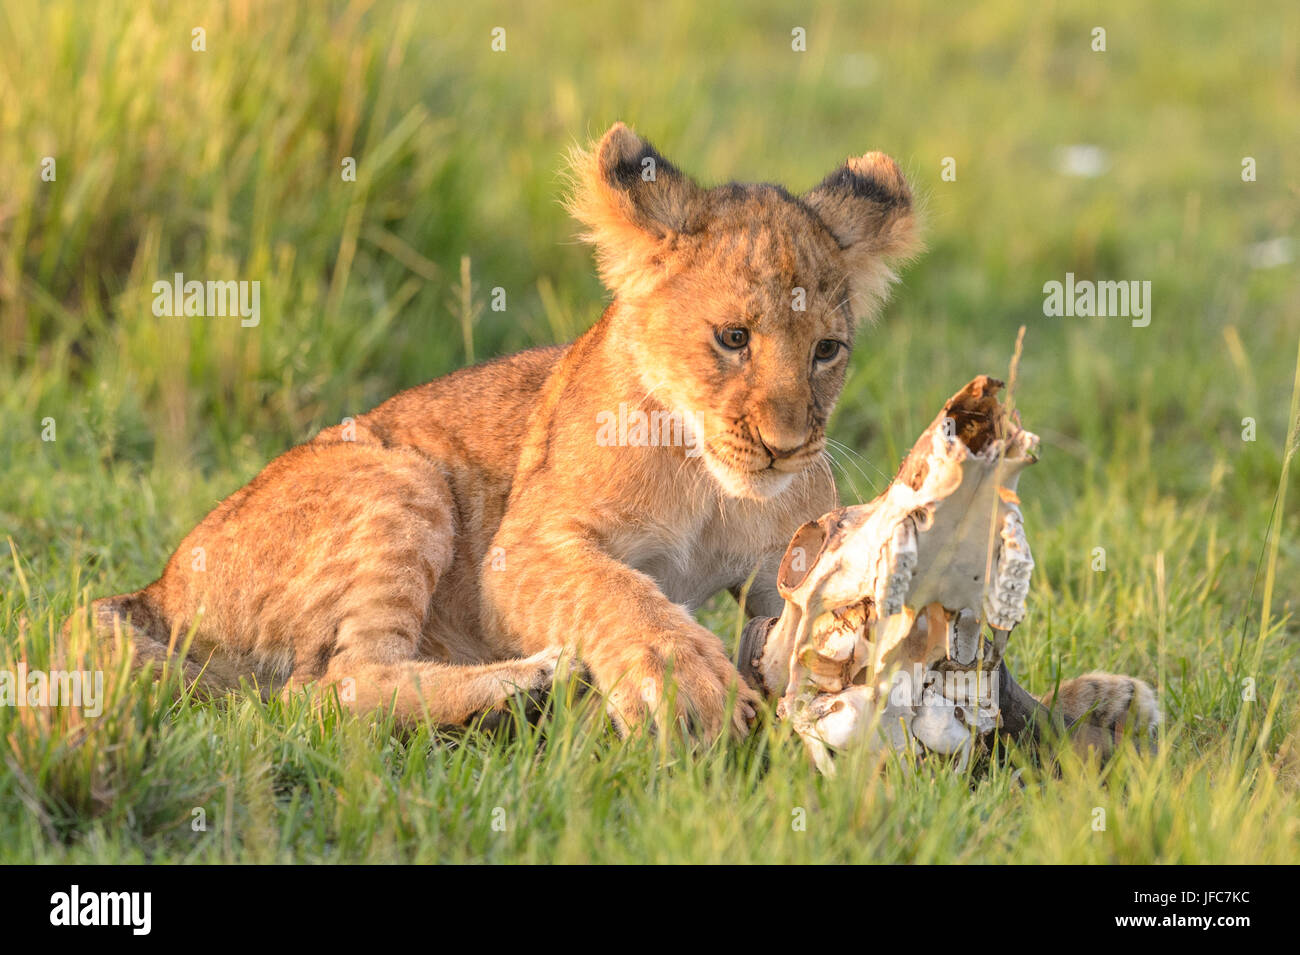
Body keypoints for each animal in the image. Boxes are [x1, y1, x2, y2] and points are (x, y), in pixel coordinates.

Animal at [80, 122, 1158, 750]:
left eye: (827, 350)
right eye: (734, 337)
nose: (786, 444)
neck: (714, 483)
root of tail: (152, 588)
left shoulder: (788, 575)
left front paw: (1088, 706)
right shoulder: (519, 555)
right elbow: (619, 589)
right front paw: (684, 680)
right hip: (395, 475)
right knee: (332, 686)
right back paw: (524, 686)